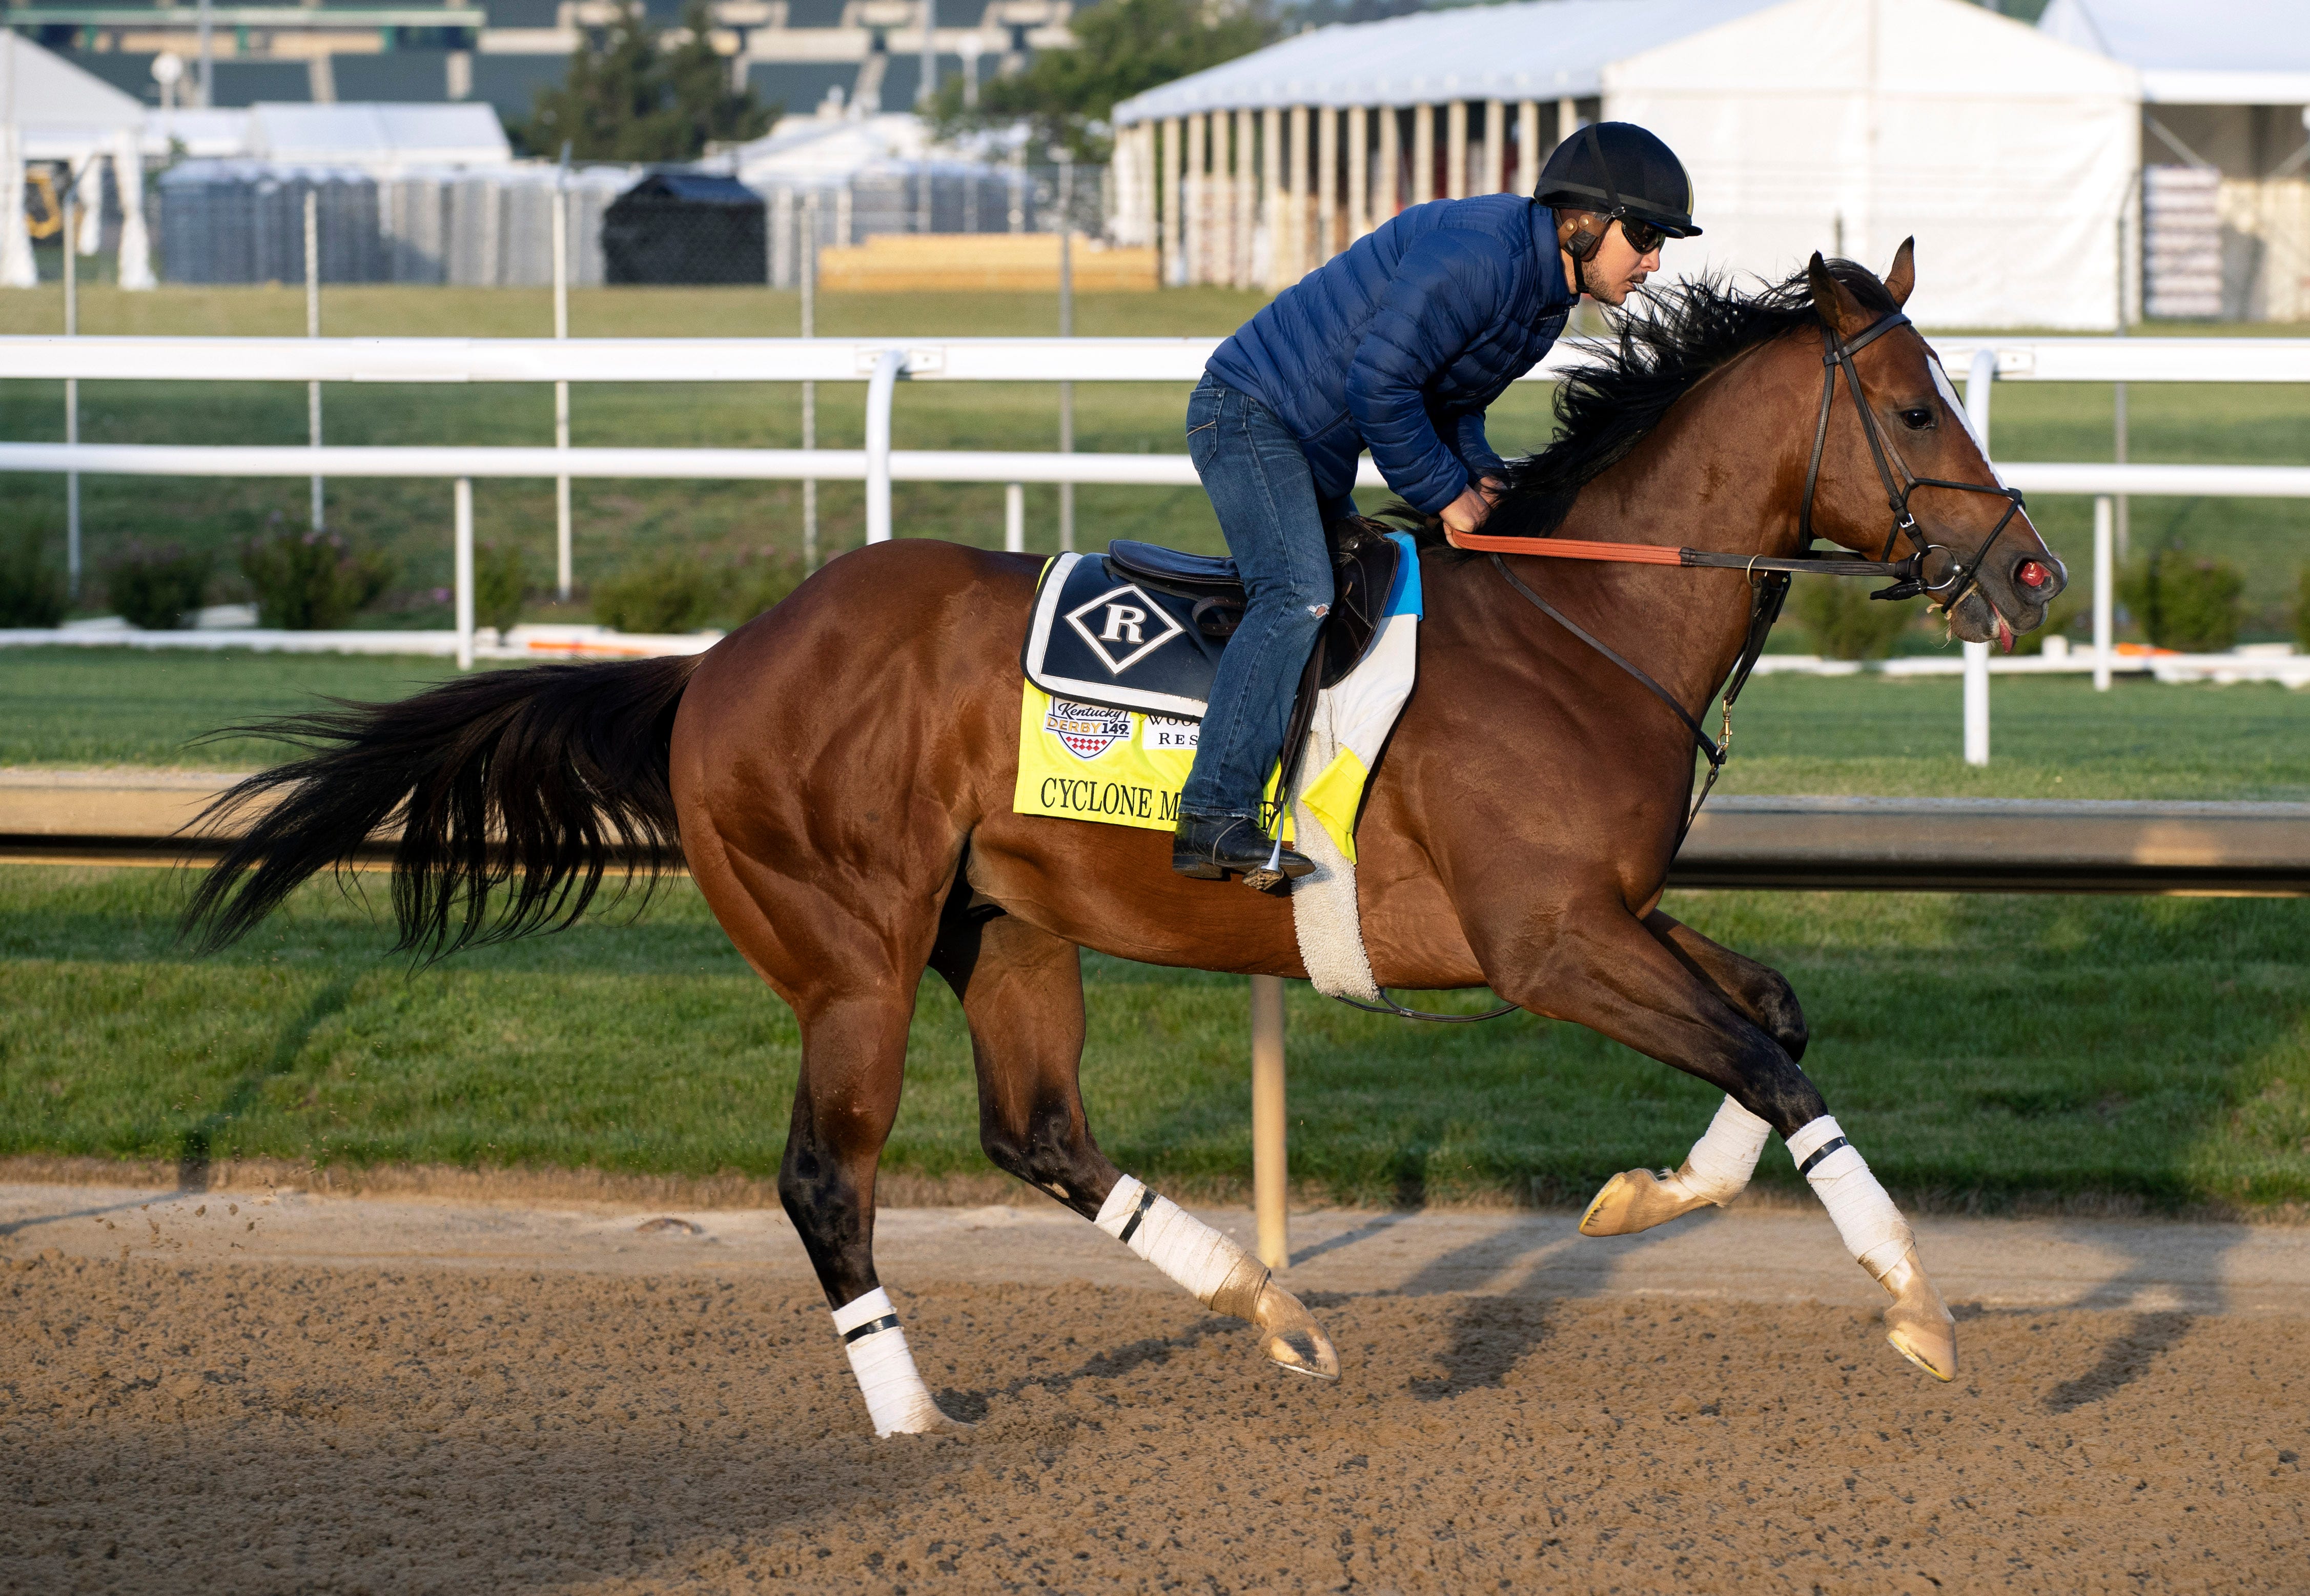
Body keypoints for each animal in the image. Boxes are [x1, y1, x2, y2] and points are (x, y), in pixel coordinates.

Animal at [188, 245, 2065, 1437]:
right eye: (1914, 408)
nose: (2032, 573)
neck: (1576, 625)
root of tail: (713, 665)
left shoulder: (1609, 914)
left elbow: (1773, 1020)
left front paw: (1643, 1196)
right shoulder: (1545, 943)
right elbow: (1770, 1054)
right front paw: (1910, 1300)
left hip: (1008, 928)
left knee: (1036, 1131)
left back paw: (1269, 1306)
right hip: (851, 951)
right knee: (827, 1176)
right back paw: (912, 1414)